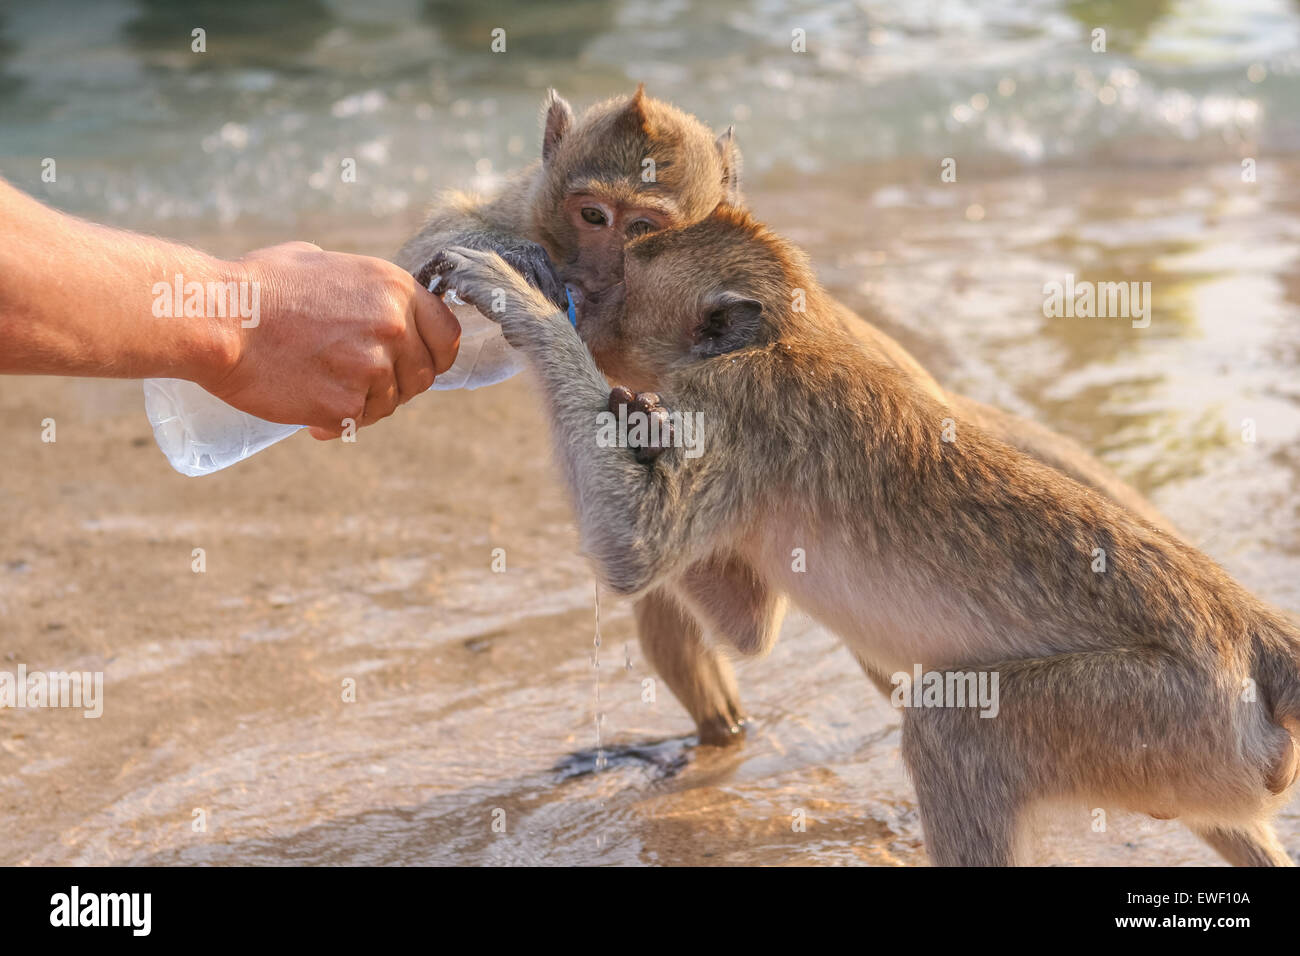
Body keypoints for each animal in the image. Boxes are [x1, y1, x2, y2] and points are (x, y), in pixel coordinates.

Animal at [397, 86, 1172, 751]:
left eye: (641, 228)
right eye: (592, 216)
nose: (589, 278)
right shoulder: (532, 202)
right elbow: (424, 250)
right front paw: (515, 264)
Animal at [423, 205, 1300, 866]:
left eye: (623, 270)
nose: (575, 280)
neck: (779, 341)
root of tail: (1251, 631)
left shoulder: (740, 412)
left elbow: (632, 550)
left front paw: (518, 305)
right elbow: (745, 622)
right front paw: (626, 409)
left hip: (1170, 713)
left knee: (954, 730)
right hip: (1207, 764)